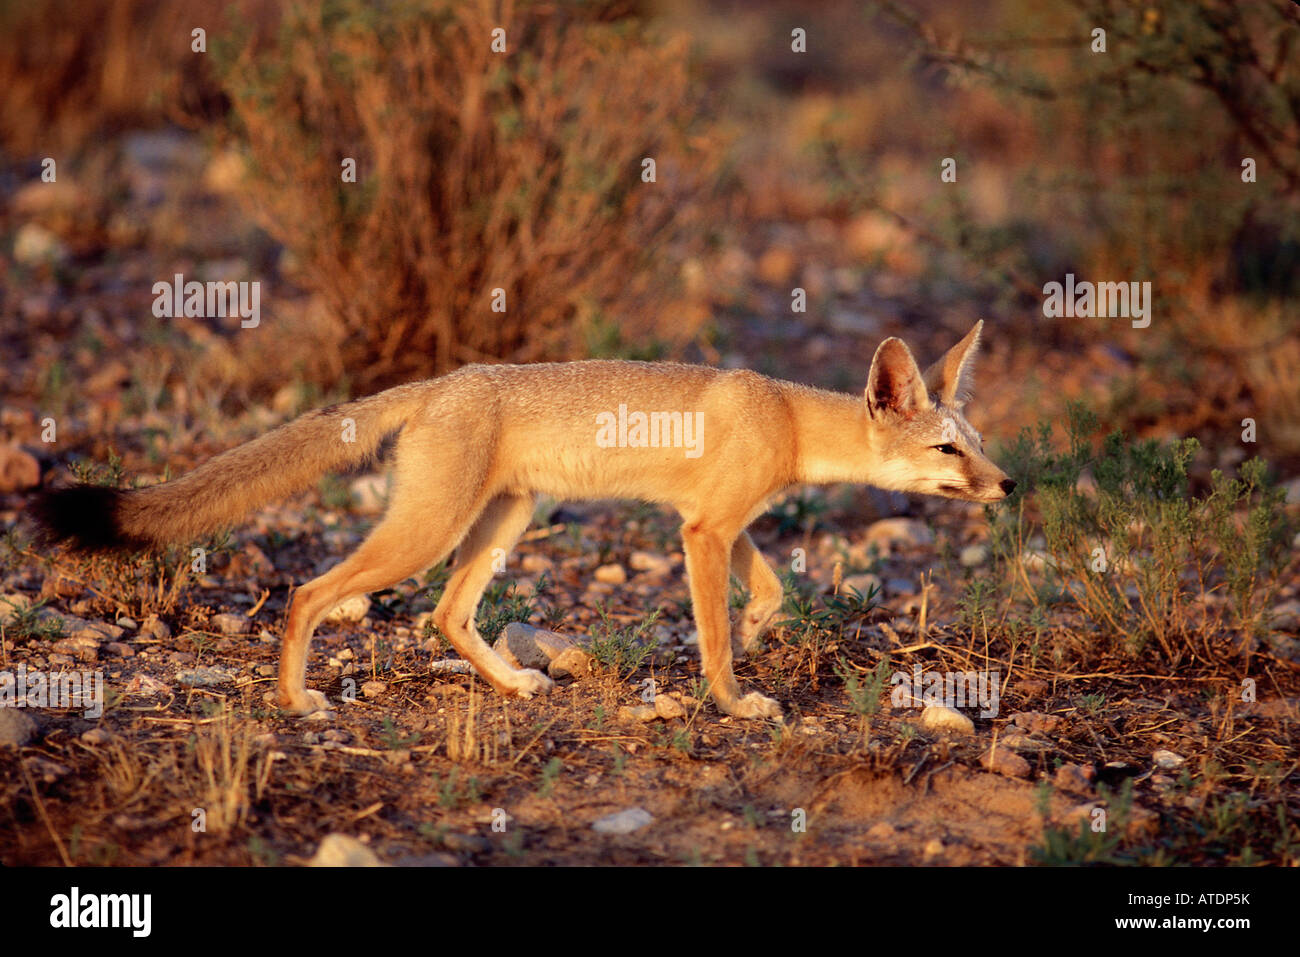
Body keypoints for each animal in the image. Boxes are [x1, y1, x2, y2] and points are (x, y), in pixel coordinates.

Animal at [33, 320, 1013, 720]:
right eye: (949, 450)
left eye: (977, 443)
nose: (1008, 485)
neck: (789, 415)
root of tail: (443, 381)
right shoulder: (701, 532)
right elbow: (714, 638)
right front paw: (735, 700)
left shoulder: (718, 523)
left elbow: (768, 590)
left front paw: (760, 632)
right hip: (429, 532)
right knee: (310, 591)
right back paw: (295, 700)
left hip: (505, 521)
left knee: (446, 612)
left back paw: (512, 684)